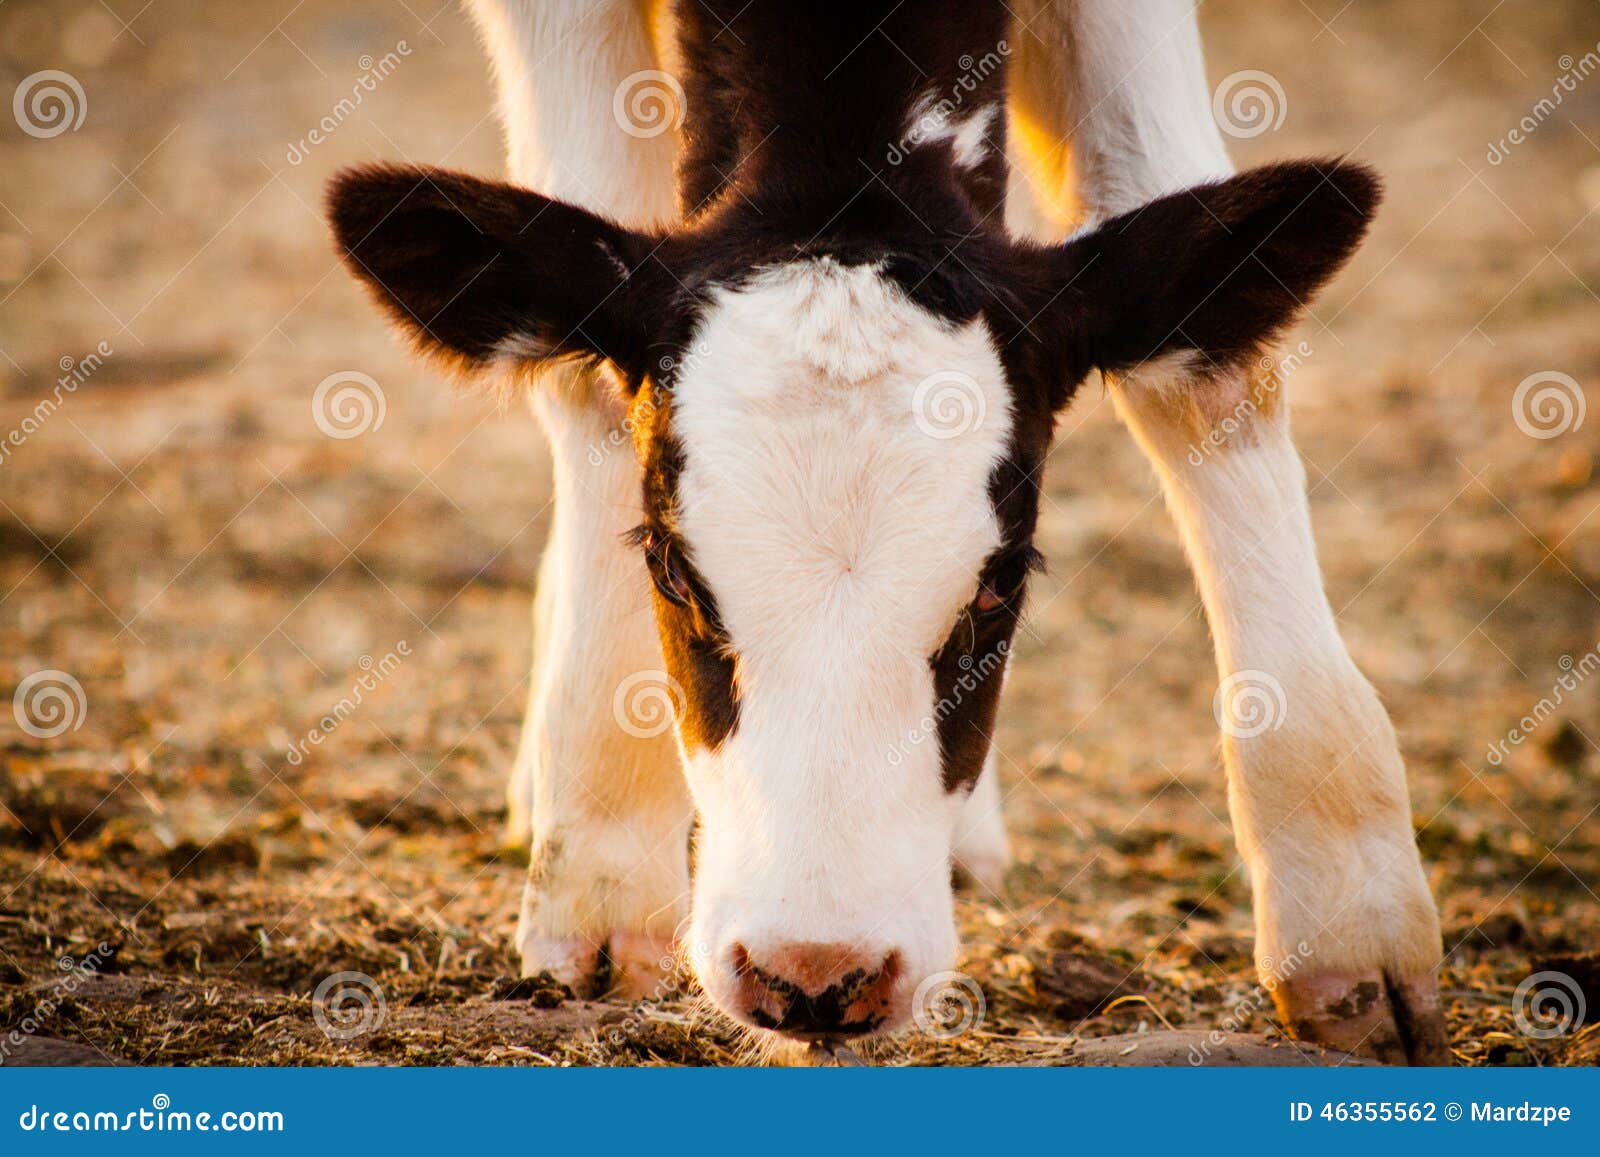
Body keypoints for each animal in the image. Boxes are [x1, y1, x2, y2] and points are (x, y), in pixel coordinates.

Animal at [325, 0, 1449, 1064]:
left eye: (1001, 585)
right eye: (672, 570)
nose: (816, 974)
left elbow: (1211, 373)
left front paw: (1349, 917)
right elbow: (587, 379)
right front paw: (599, 874)